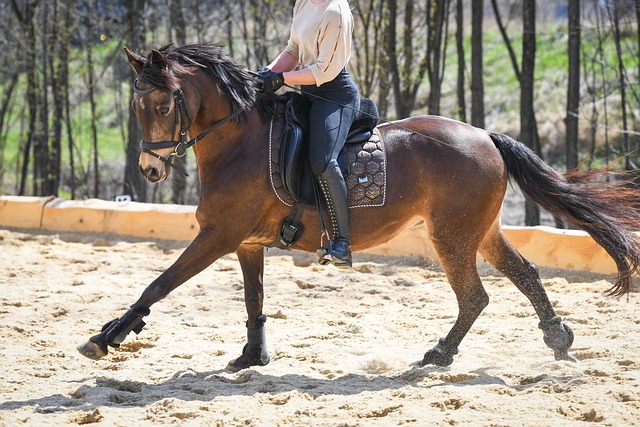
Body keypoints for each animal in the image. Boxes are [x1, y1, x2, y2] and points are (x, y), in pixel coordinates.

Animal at [78, 43, 640, 370]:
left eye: (162, 104)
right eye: (136, 106)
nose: (151, 170)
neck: (239, 142)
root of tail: (485, 136)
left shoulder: (217, 235)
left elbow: (160, 283)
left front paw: (108, 336)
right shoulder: (245, 242)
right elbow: (253, 300)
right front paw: (252, 356)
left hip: (451, 234)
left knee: (475, 296)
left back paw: (440, 353)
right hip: (479, 230)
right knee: (523, 272)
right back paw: (558, 337)